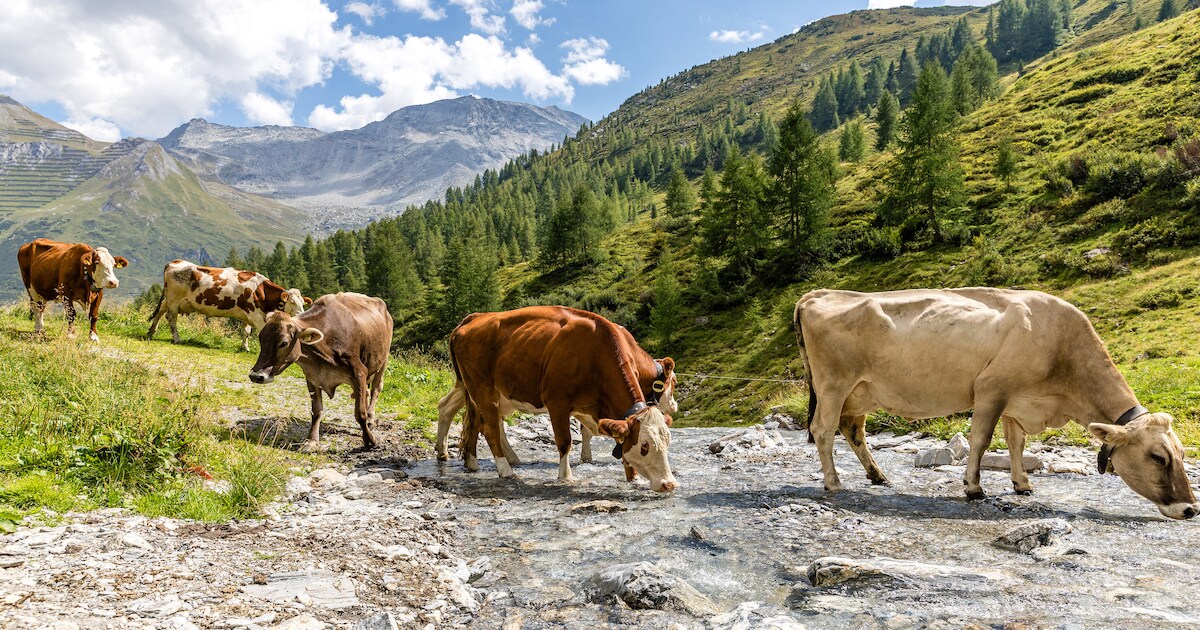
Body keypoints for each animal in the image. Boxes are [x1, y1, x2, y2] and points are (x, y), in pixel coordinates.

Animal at [147, 260, 311, 351]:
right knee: (171, 318)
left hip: (170, 299)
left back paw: (151, 332)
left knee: (160, 310)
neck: (261, 290)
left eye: (303, 303)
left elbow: (246, 332)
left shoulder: (248, 315)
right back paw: (176, 338)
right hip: (174, 299)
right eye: (292, 302)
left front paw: (245, 347)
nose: (300, 315)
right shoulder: (256, 315)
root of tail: (175, 262)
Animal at [247, 293, 392, 451]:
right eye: (261, 338)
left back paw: (371, 418)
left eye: (283, 343)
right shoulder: (312, 376)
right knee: (365, 392)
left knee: (376, 389)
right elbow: (316, 411)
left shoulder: (359, 372)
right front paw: (311, 441)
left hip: (383, 360)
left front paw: (370, 440)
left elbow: (360, 413)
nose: (256, 376)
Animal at [435, 306, 679, 493]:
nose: (669, 484)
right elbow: (565, 441)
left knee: (469, 418)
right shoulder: (557, 403)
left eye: (668, 442)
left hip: (486, 392)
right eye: (645, 445)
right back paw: (506, 470)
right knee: (489, 428)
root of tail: (474, 317)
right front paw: (566, 476)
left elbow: (612, 439)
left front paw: (633, 477)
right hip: (481, 388)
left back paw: (472, 462)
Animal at [795, 288, 1199, 520]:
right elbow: (981, 440)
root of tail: (819, 294)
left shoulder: (1016, 401)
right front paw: (973, 487)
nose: (1190, 509)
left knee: (852, 431)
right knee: (823, 429)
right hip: (834, 384)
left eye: (1182, 454)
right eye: (1158, 457)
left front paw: (1022, 484)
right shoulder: (991, 388)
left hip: (861, 392)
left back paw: (877, 475)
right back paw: (834, 482)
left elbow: (1016, 443)